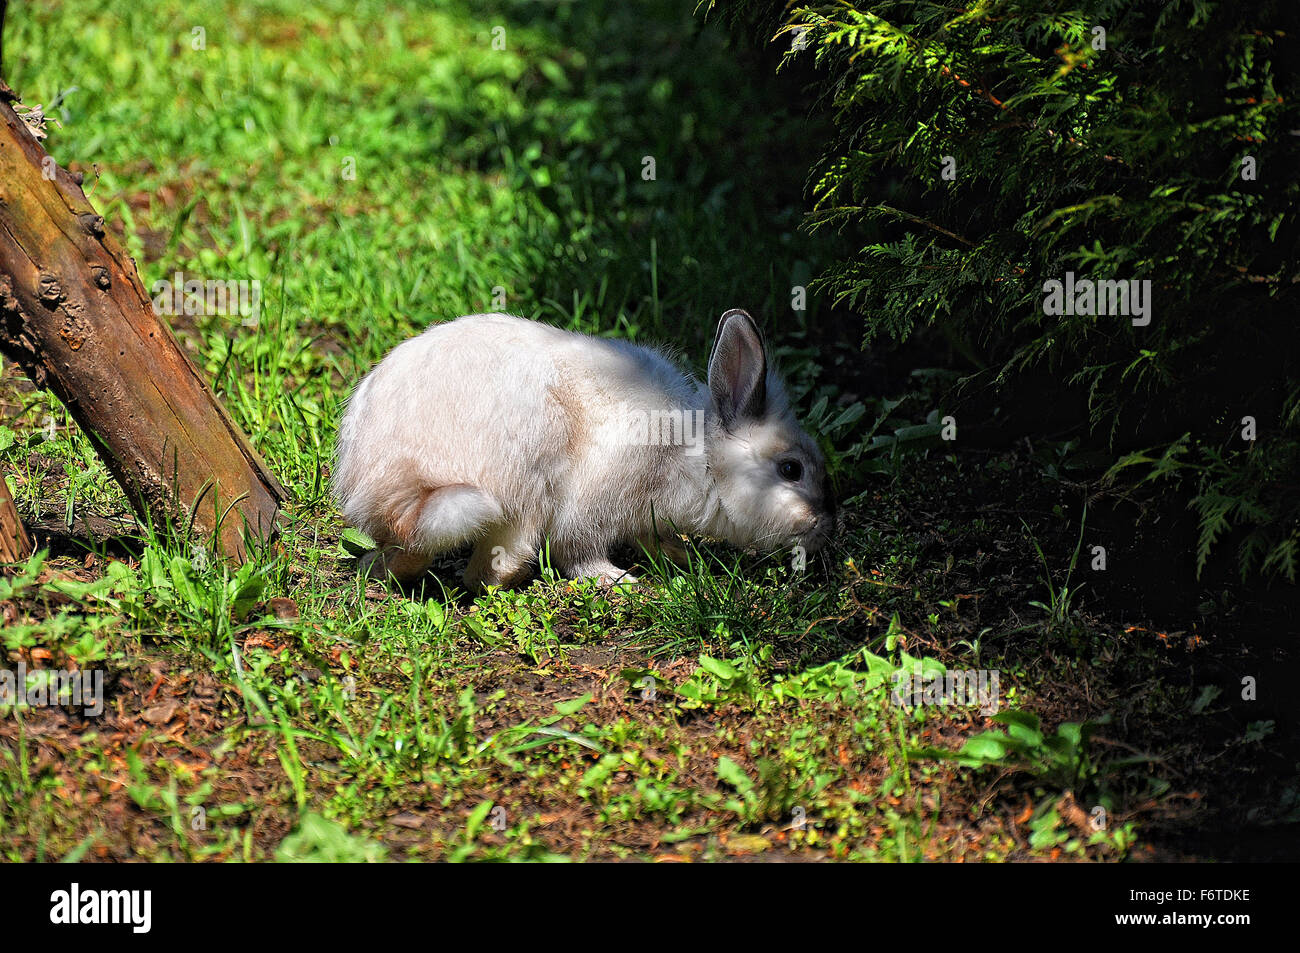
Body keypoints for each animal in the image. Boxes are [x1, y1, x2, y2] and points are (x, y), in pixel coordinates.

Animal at [333, 309, 835, 589]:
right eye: (791, 470)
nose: (829, 527)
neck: (701, 459)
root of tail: (400, 486)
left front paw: (681, 556)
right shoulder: (597, 502)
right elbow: (576, 551)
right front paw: (618, 579)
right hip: (524, 485)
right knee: (488, 569)